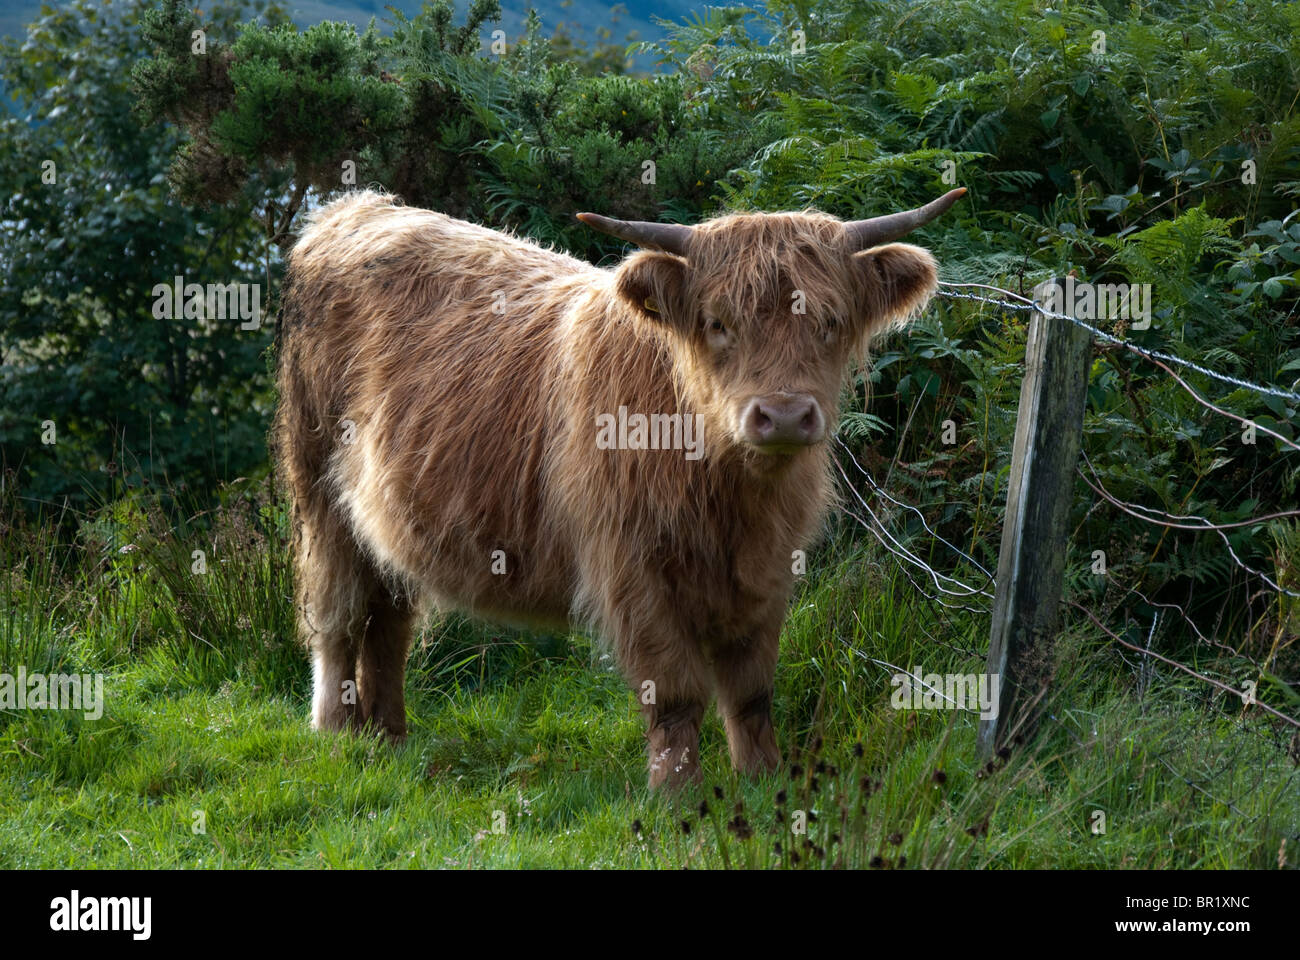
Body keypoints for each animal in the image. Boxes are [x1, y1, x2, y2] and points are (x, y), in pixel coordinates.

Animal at [274, 186, 965, 789]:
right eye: (717, 323)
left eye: (830, 321)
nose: (786, 414)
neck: (728, 490)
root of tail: (356, 208)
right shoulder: (634, 571)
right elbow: (676, 693)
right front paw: (679, 794)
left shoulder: (767, 570)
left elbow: (751, 689)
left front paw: (764, 781)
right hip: (319, 494)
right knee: (336, 615)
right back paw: (336, 733)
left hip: (387, 519)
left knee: (387, 620)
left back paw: (389, 738)